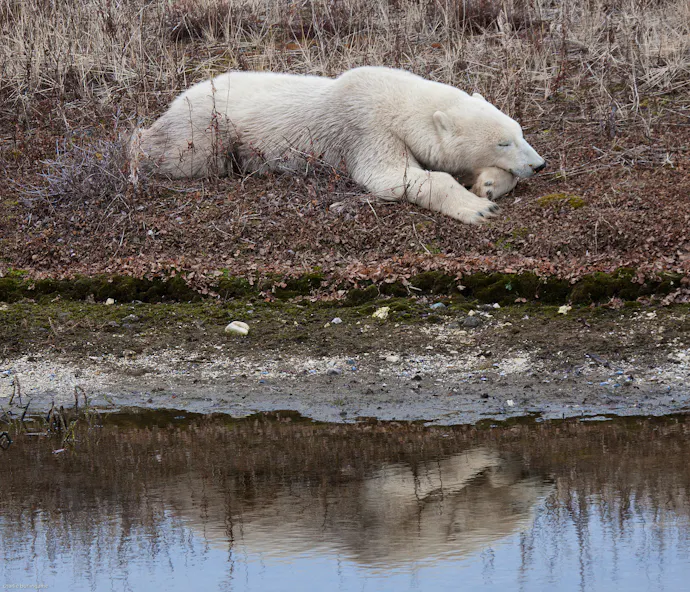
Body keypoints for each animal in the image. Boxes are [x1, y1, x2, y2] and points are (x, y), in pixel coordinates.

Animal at [133, 67, 545, 224]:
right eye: (503, 142)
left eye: (520, 133)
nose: (539, 165)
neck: (398, 101)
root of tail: (180, 97)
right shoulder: (367, 129)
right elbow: (391, 176)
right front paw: (478, 208)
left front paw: (488, 185)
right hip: (207, 128)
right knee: (181, 155)